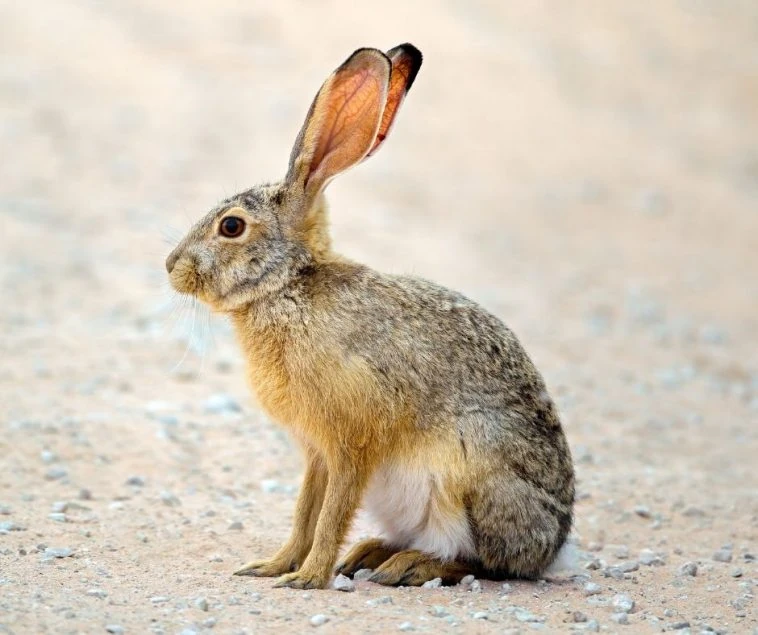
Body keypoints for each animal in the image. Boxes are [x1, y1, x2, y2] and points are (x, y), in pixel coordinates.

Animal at [165, 43, 575, 590]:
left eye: (231, 227)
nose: (171, 267)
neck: (289, 287)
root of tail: (551, 546)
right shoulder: (317, 453)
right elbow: (306, 512)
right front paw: (273, 566)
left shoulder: (351, 443)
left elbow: (332, 514)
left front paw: (307, 579)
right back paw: (372, 553)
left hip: (468, 475)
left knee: (484, 561)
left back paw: (409, 565)